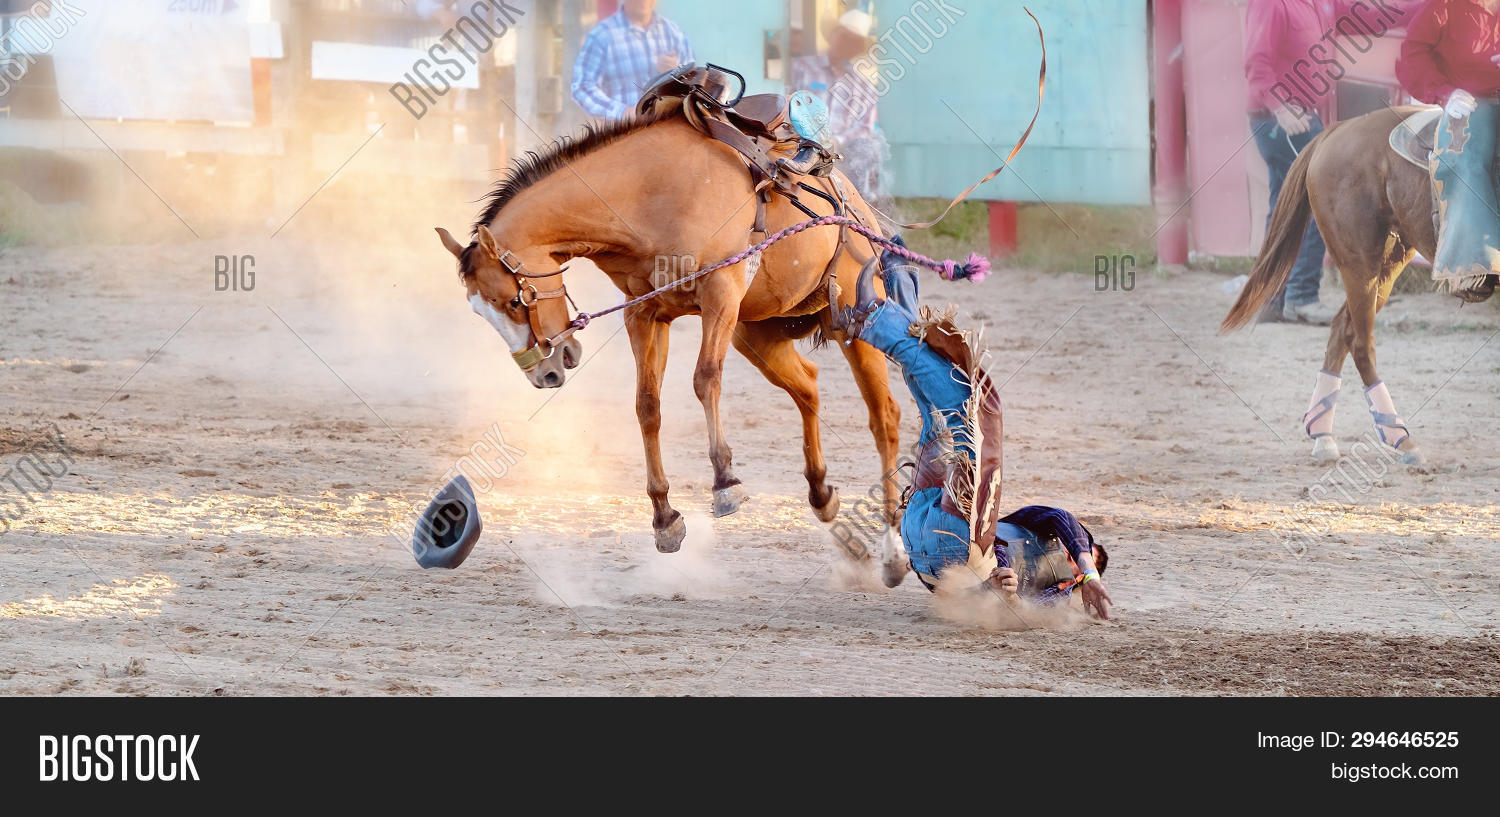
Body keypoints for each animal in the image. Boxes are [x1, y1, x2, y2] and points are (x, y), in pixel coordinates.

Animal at [434, 107, 907, 563]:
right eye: (480, 312)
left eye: (515, 300)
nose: (544, 372)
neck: (650, 193)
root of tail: (854, 201)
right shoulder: (643, 312)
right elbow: (647, 405)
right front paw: (664, 517)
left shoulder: (720, 292)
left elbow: (705, 379)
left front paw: (725, 482)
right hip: (755, 335)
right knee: (808, 386)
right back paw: (821, 492)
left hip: (858, 319)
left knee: (884, 417)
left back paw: (893, 549)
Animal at [1221, 105, 1445, 465]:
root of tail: (1336, 131)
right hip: (1361, 266)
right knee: (1360, 342)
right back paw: (1398, 437)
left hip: (1387, 265)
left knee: (1341, 328)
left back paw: (1323, 435)